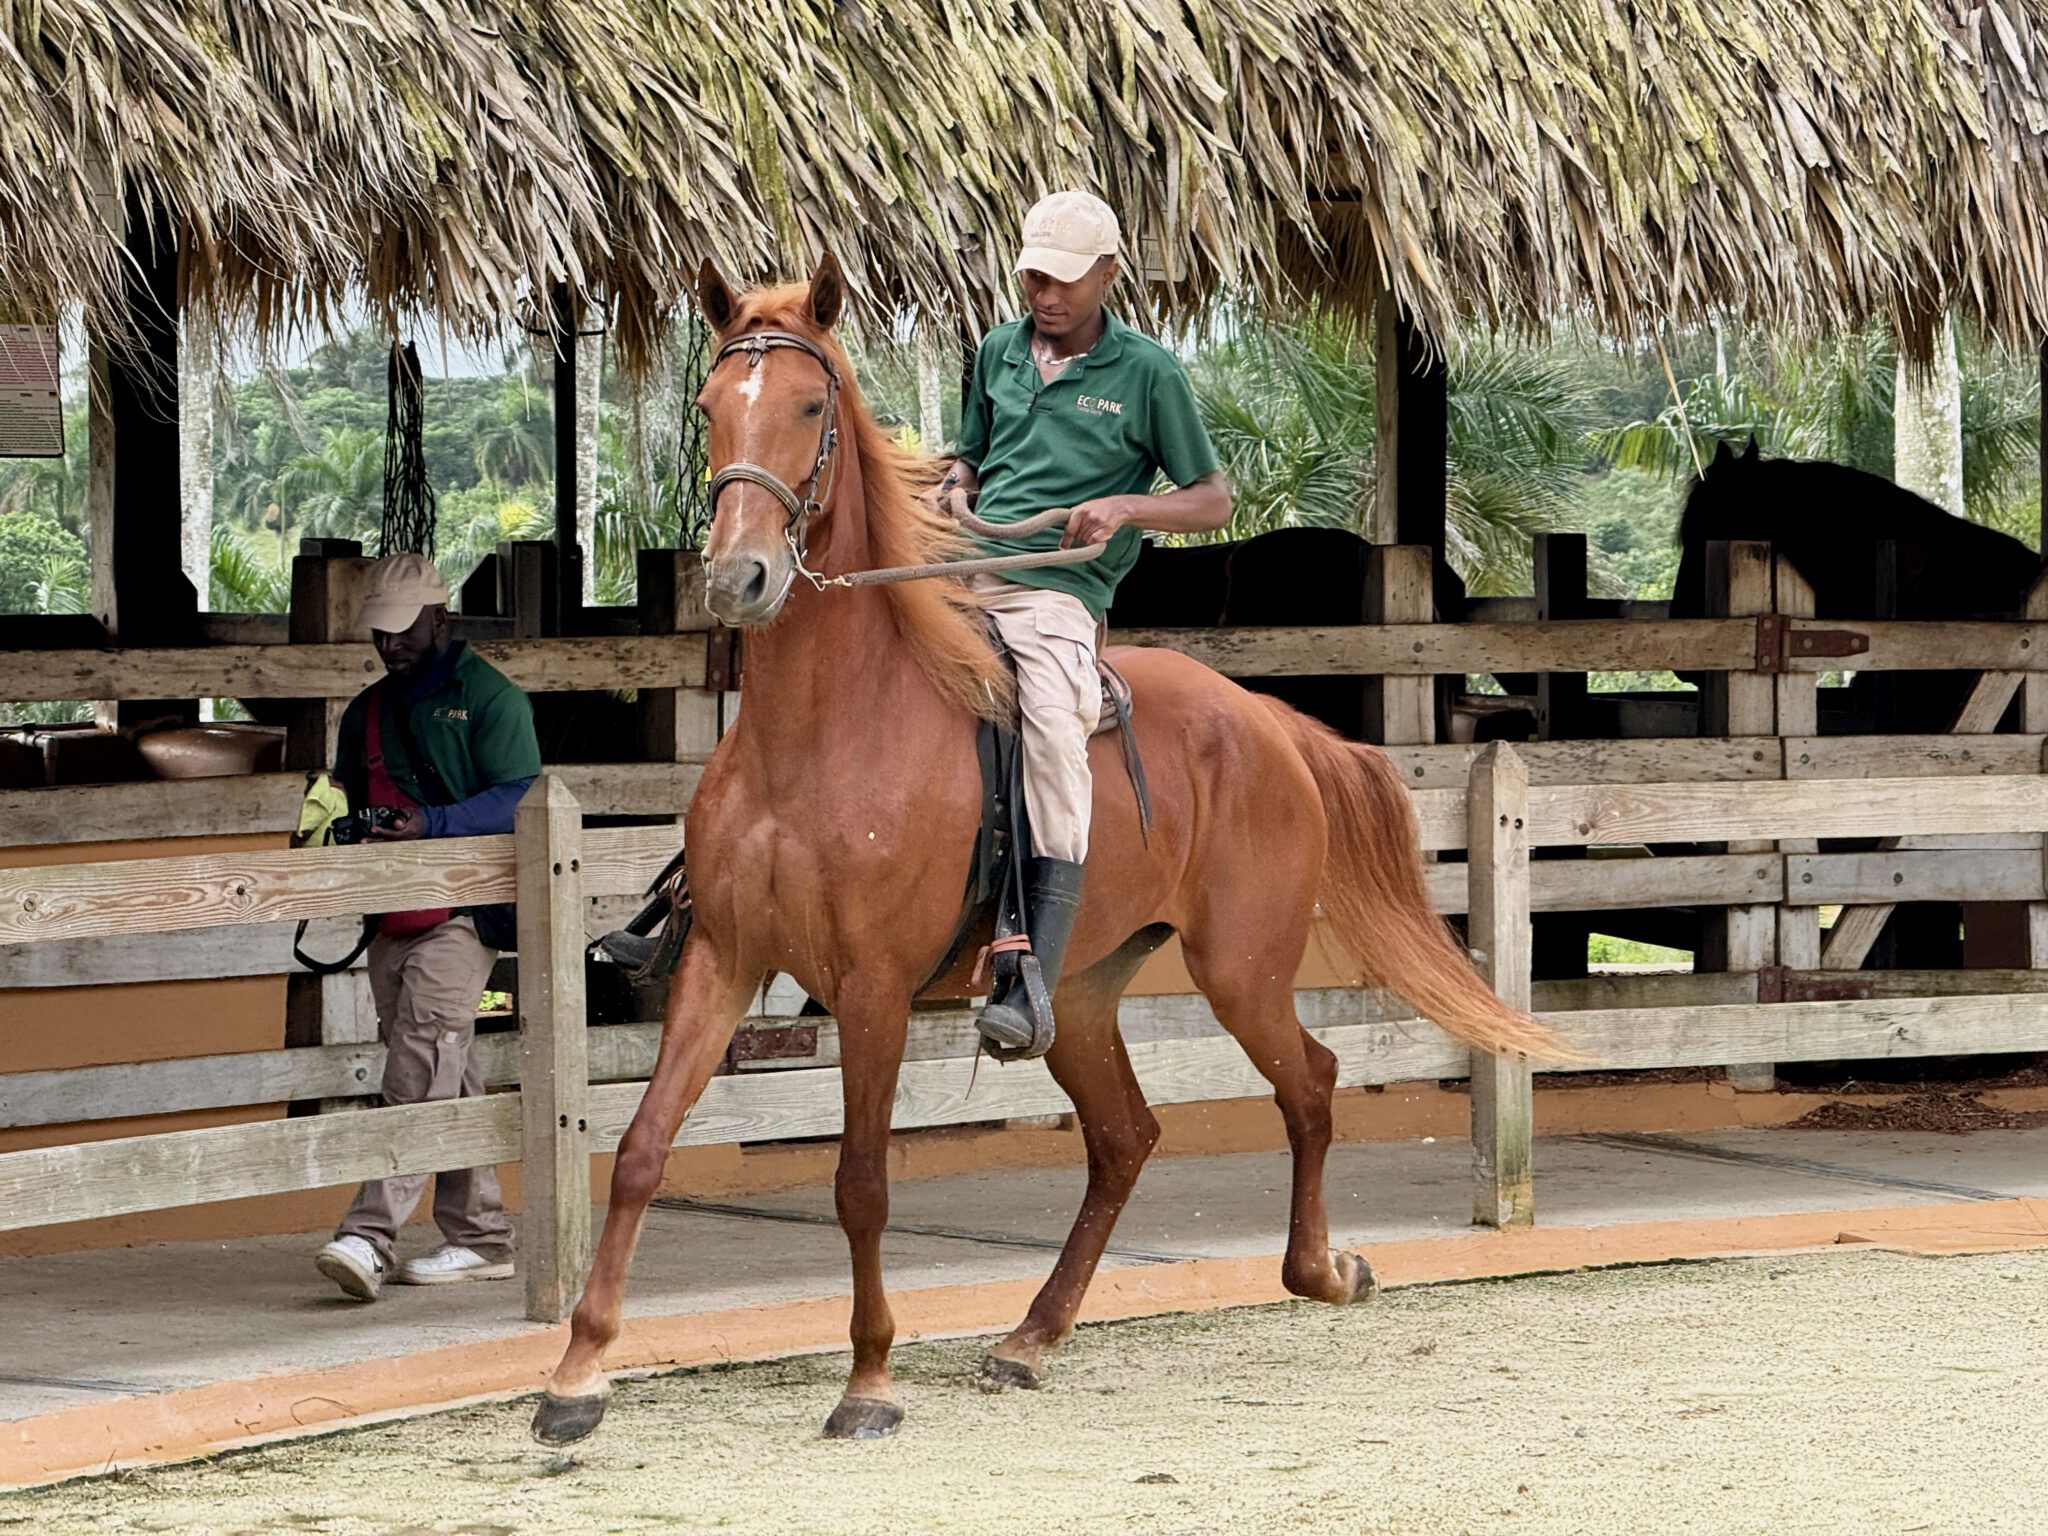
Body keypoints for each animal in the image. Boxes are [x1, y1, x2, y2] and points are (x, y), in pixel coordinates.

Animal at [532, 255, 1559, 1445]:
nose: (739, 578)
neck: (821, 732)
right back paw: (1030, 1334)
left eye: (807, 409)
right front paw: (576, 1378)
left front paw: (868, 1381)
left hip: (1241, 968)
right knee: (1124, 1136)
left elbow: (861, 1182)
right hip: (1078, 991)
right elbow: (642, 1148)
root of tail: (1269, 721)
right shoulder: (724, 961)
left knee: (1308, 1081)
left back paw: (1320, 1271)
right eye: (708, 408)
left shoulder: (871, 988)